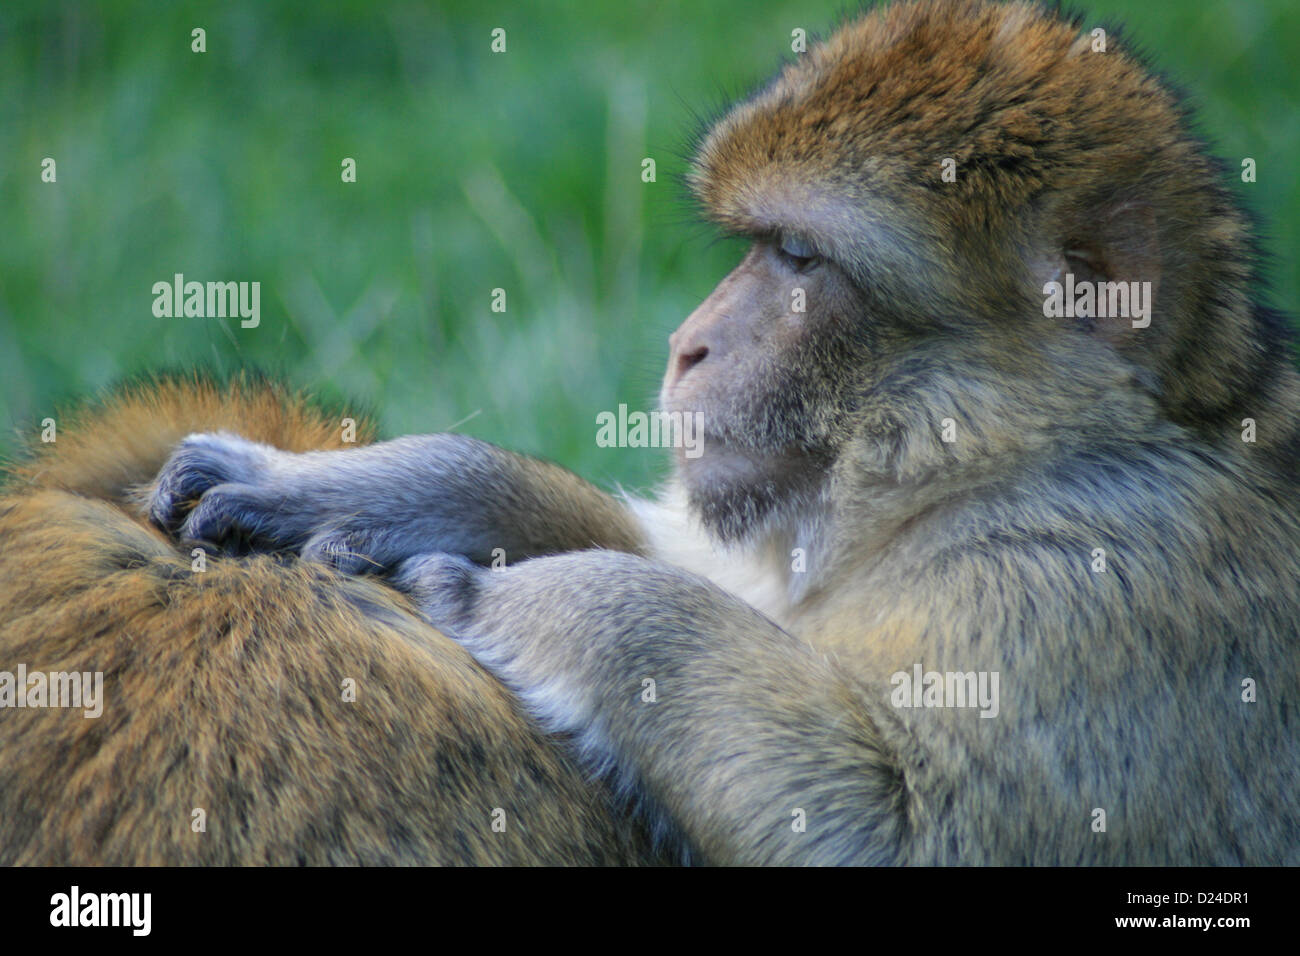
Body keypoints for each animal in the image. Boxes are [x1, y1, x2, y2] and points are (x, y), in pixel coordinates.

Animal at [5, 0, 1299, 865]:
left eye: (798, 258)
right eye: (757, 246)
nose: (689, 344)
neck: (998, 471)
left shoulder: (1090, 594)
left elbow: (896, 829)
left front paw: (509, 599)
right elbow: (698, 567)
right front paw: (350, 487)